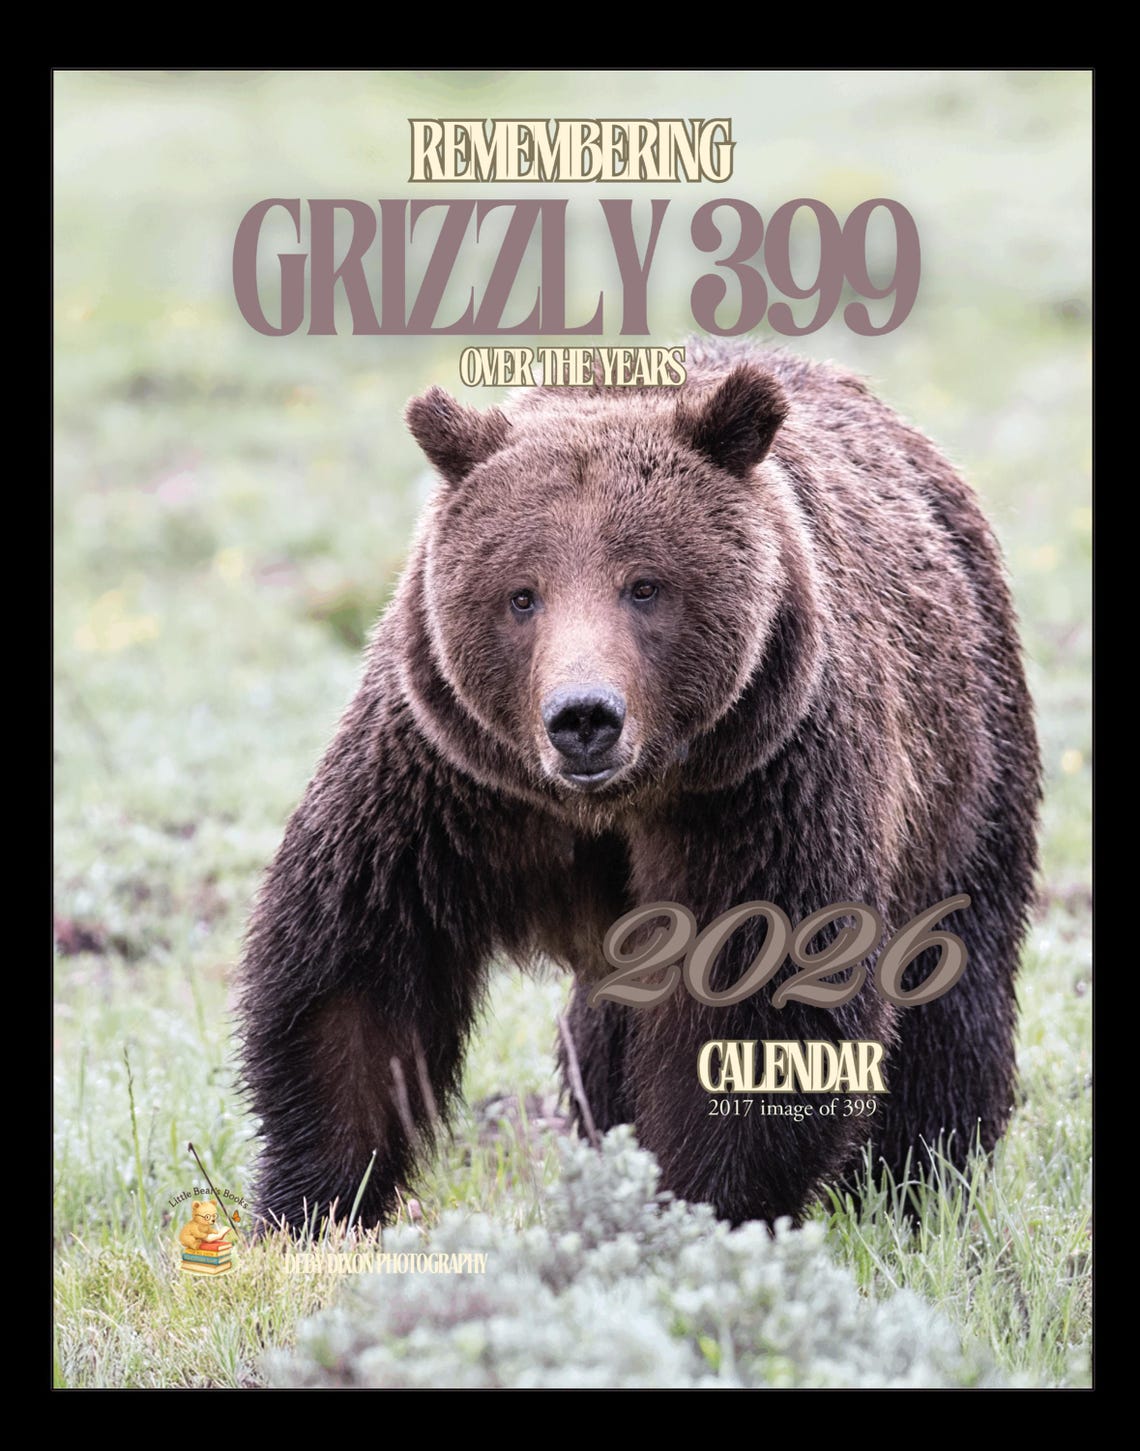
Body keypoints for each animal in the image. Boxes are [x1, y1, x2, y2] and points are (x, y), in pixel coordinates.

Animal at [238, 339, 1041, 1233]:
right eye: (522, 594)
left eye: (645, 584)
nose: (583, 717)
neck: (611, 804)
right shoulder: (444, 783)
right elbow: (359, 970)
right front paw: (310, 1205)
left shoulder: (761, 791)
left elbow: (759, 1004)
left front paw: (700, 1206)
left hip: (966, 758)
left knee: (951, 981)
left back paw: (912, 1176)